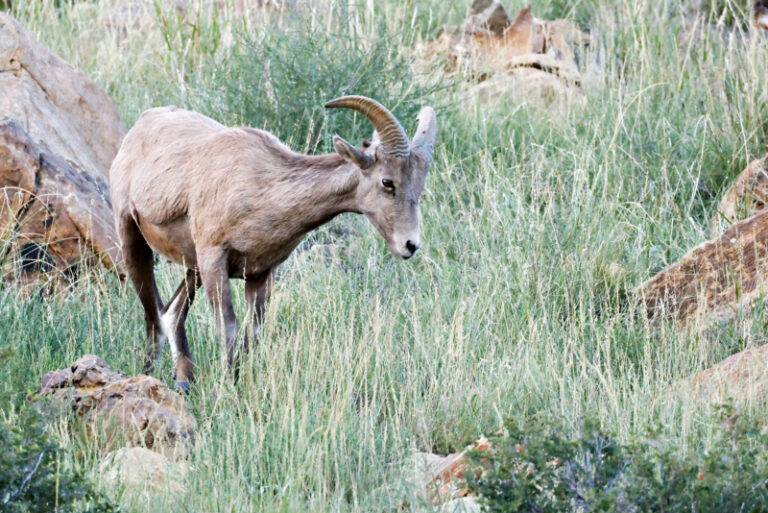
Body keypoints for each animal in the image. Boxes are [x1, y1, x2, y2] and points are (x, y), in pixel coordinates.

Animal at [109, 96, 437, 390]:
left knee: (172, 312)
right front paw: (226, 391)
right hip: (135, 242)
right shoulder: (215, 259)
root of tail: (141, 126)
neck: (262, 190)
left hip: (194, 269)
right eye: (387, 182)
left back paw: (184, 382)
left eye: (419, 185)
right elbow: (228, 326)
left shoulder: (260, 273)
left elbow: (252, 334)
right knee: (153, 317)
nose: (410, 245)